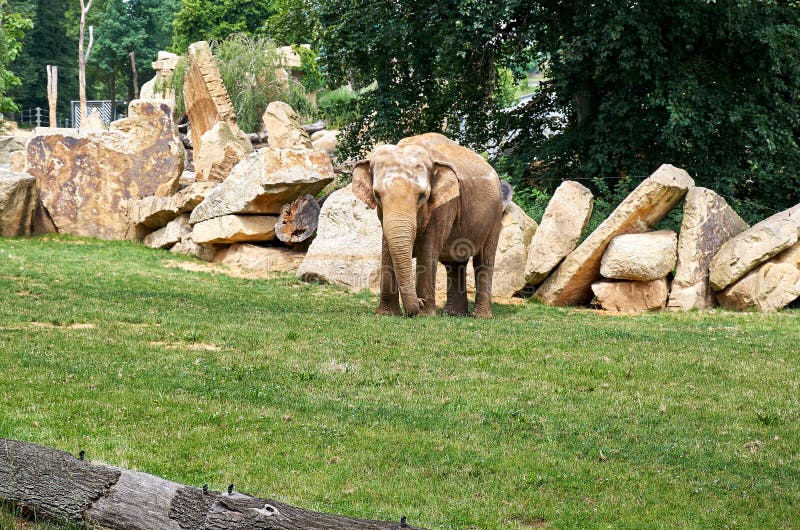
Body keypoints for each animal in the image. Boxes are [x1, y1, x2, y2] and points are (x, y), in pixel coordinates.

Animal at [352, 132, 508, 318]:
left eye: (422, 196)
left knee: (483, 260)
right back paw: (454, 314)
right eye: (377, 195)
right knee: (455, 263)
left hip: (495, 214)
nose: (419, 302)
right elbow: (387, 251)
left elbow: (428, 251)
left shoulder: (444, 206)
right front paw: (387, 314)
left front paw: (425, 314)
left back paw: (479, 316)